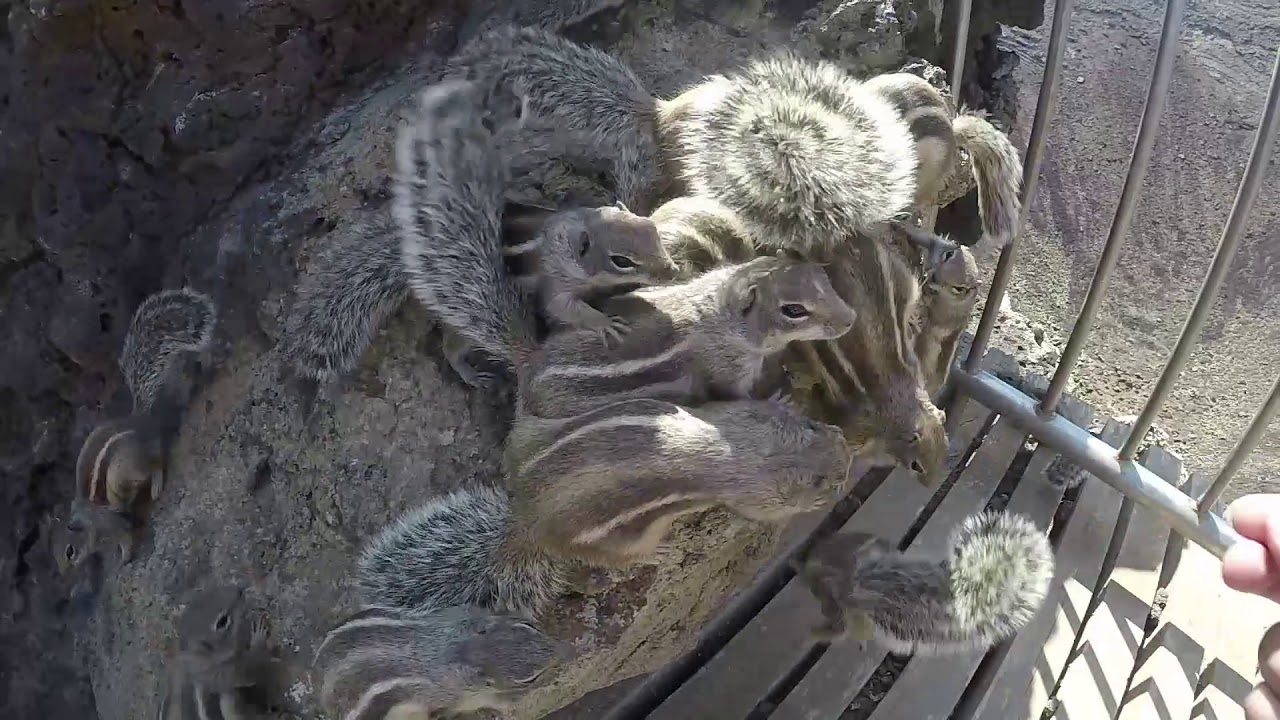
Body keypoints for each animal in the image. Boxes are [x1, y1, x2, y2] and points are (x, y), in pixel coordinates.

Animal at [54, 288, 217, 572]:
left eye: (69, 551)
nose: (65, 574)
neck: (88, 521)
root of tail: (140, 421)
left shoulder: (110, 523)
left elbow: (124, 536)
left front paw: (126, 557)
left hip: (128, 467)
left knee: (156, 463)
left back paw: (156, 486)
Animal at [158, 584, 275, 720]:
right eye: (222, 621)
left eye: (204, 594)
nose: (239, 590)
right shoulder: (231, 671)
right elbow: (255, 665)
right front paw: (259, 636)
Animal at [313, 604, 574, 720]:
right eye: (530, 678)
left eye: (529, 626)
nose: (565, 652)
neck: (459, 650)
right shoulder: (453, 697)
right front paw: (504, 704)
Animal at [357, 396, 852, 618]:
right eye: (818, 483)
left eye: (812, 425)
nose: (845, 445)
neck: (744, 447)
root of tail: (525, 524)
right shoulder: (746, 492)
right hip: (619, 541)